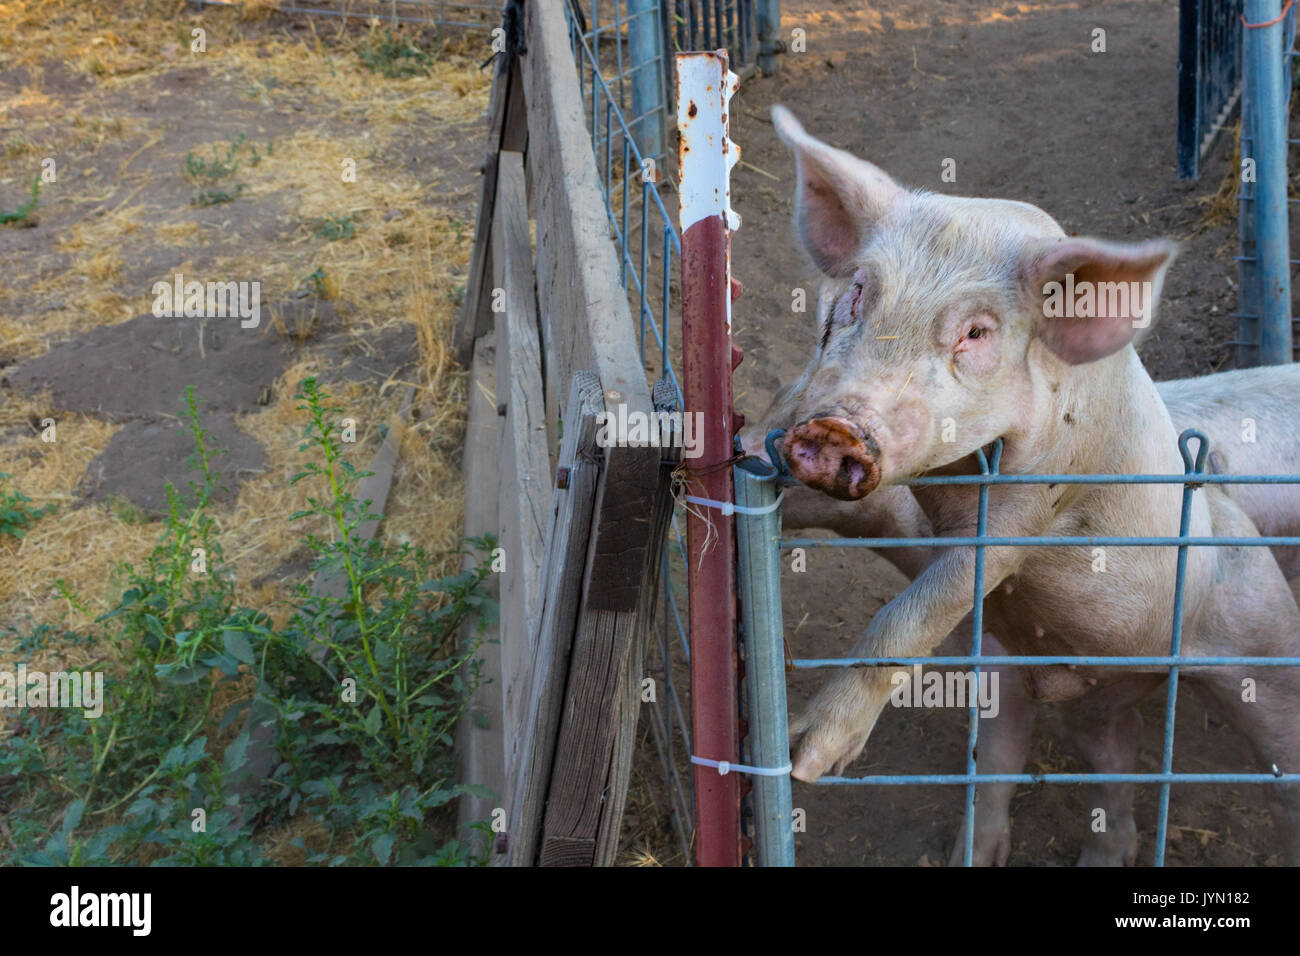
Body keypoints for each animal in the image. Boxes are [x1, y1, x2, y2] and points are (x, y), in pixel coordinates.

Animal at [755, 104, 1300, 865]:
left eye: (978, 333)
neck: (947, 488)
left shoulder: (1038, 498)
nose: (834, 428)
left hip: (1263, 643)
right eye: (858, 294)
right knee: (1098, 774)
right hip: (1084, 704)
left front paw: (805, 760)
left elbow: (920, 604)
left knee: (1280, 765)